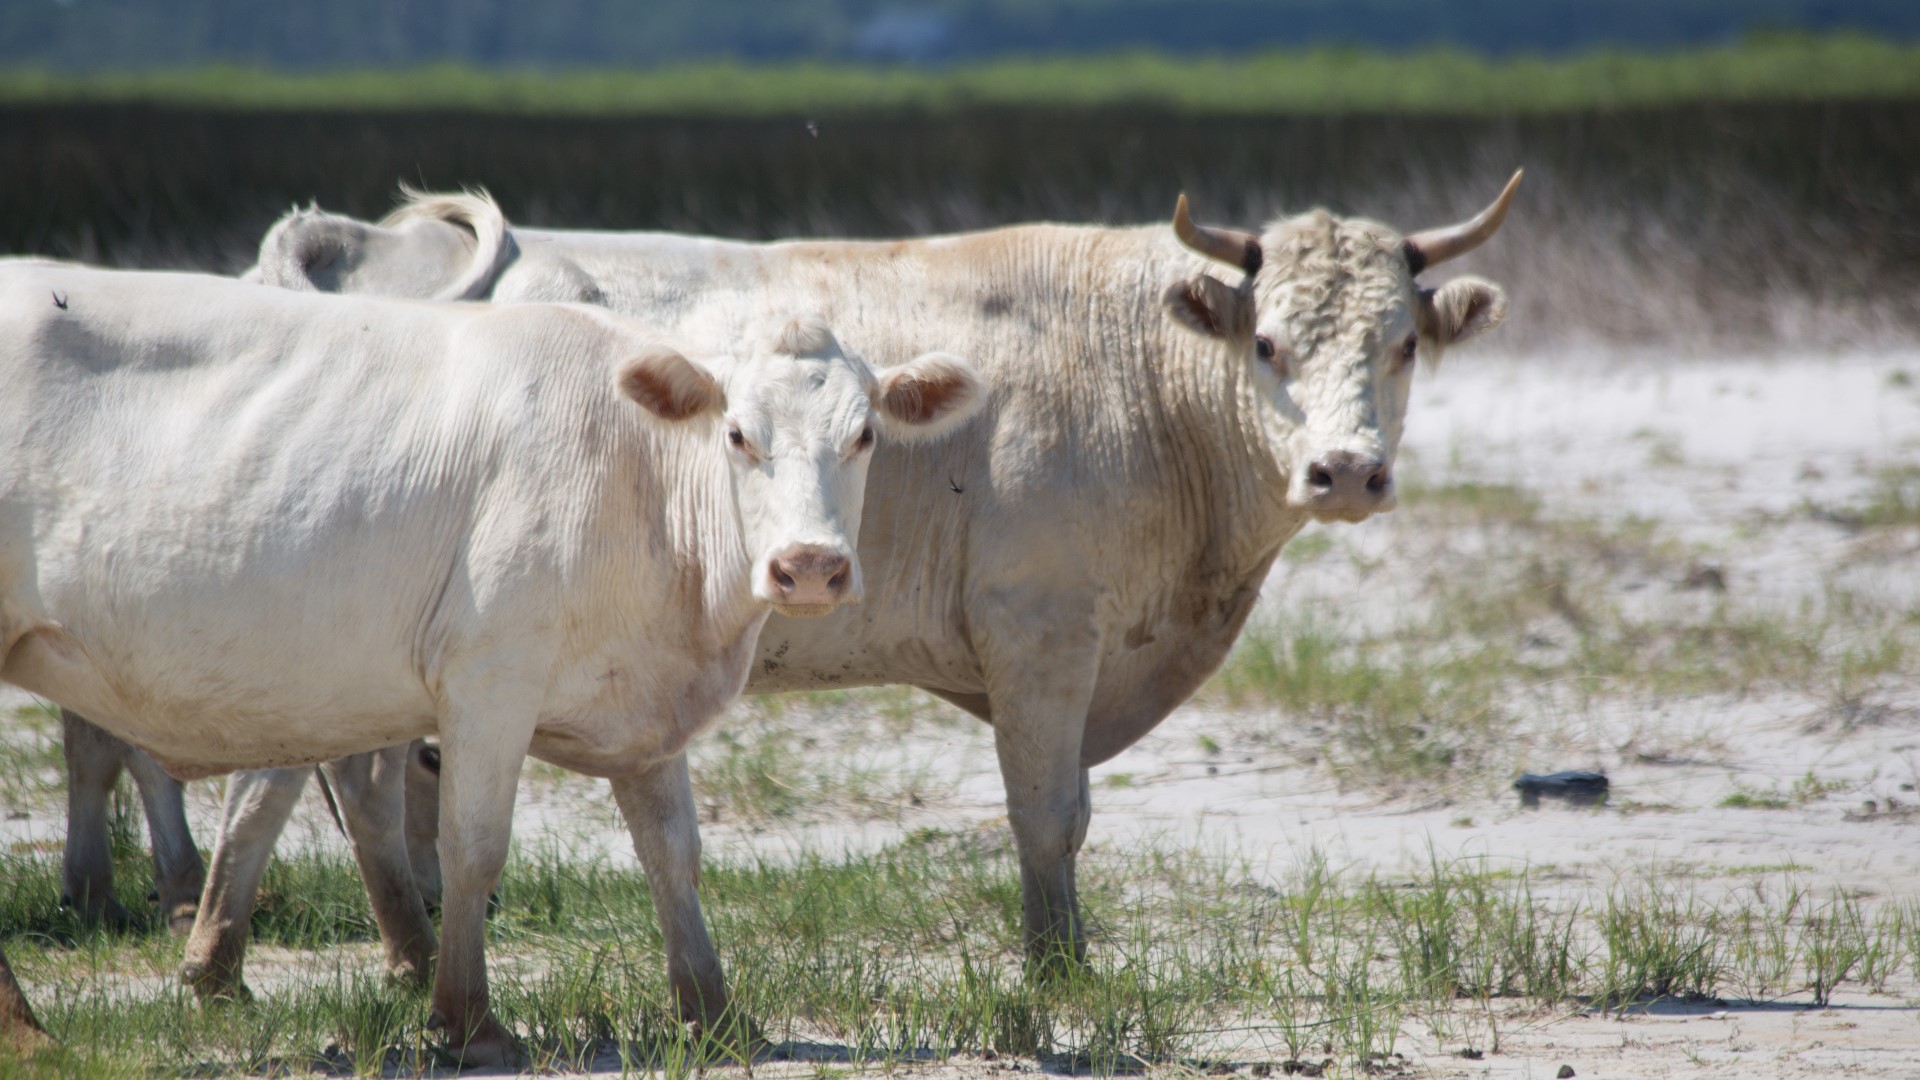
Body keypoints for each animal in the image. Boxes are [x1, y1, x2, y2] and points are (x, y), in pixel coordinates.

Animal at [0, 264, 985, 1064]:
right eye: (739, 434)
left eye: (865, 436)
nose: (810, 566)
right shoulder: (489, 682)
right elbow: (473, 849)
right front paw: (468, 1022)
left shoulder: (647, 705)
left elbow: (674, 852)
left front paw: (715, 1014)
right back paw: (31, 1030)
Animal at [209, 172, 1519, 1008]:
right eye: (1269, 346)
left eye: (1404, 343)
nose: (1345, 469)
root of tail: (359, 245)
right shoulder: (1042, 629)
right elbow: (1050, 817)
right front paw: (1062, 972)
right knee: (305, 778)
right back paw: (245, 959)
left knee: (352, 776)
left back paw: (355, 952)